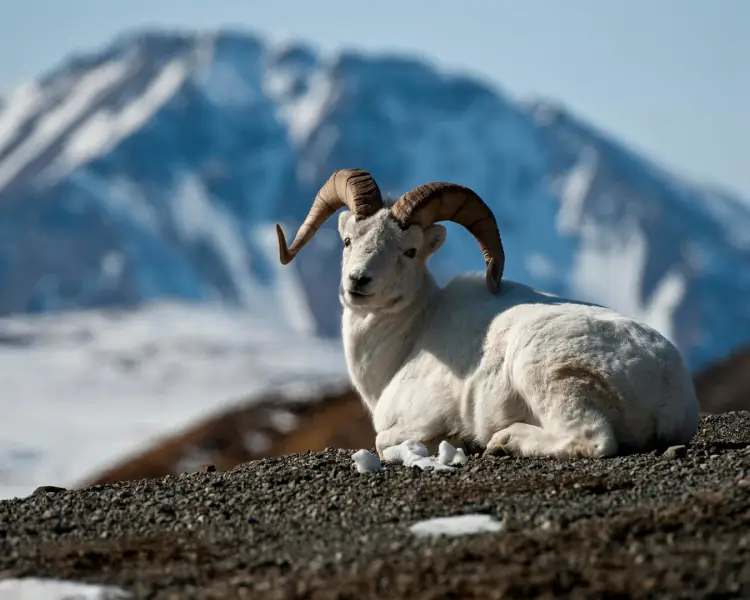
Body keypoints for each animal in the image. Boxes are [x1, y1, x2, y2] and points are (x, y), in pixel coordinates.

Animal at [275, 169, 701, 460]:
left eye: (409, 251)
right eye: (348, 241)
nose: (358, 281)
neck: (411, 337)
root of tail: (668, 382)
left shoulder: (420, 418)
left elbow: (383, 441)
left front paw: (456, 440)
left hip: (546, 374)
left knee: (592, 439)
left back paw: (504, 440)